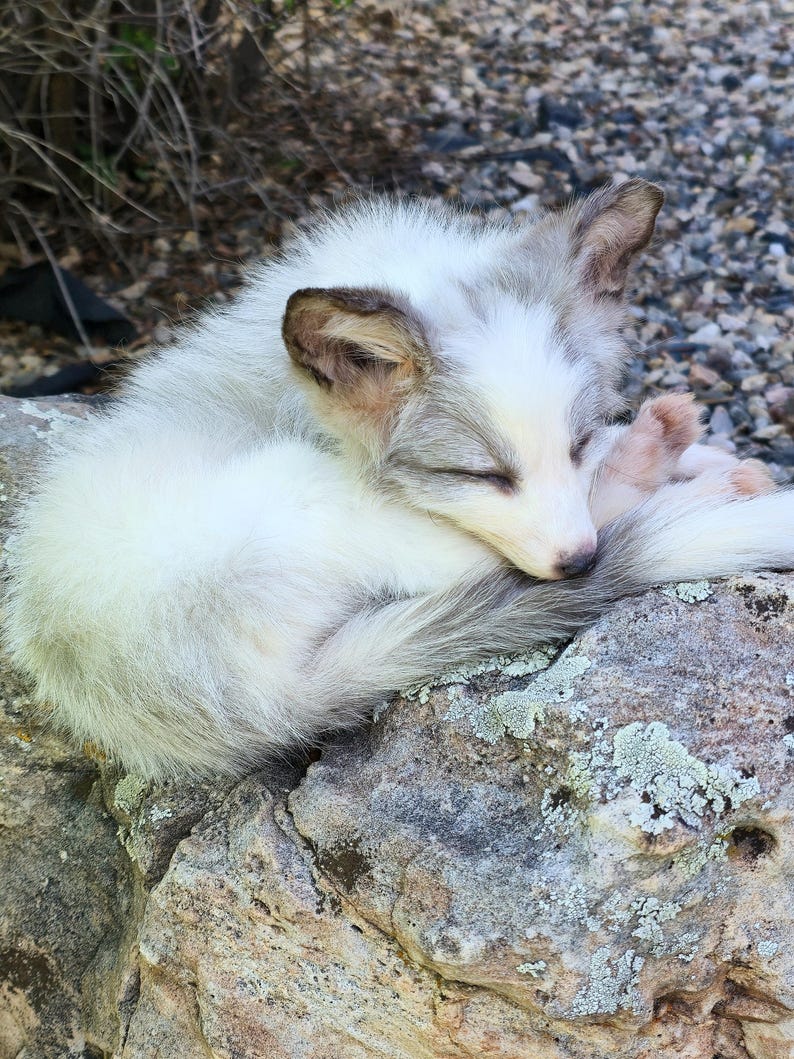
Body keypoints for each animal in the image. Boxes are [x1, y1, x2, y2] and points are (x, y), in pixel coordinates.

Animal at [3, 178, 794, 780]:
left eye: (575, 440)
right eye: (479, 473)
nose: (580, 564)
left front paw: (700, 456)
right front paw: (679, 466)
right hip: (311, 502)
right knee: (478, 561)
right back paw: (673, 472)